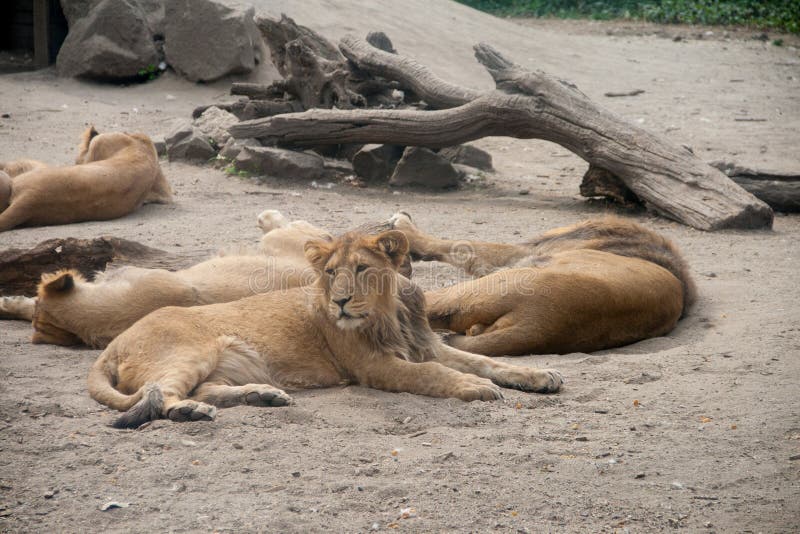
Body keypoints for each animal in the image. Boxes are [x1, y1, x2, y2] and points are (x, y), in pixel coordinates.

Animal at [87, 229, 564, 427]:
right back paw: (191, 413)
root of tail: (112, 346)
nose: (340, 301)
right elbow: (434, 374)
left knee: (201, 389)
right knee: (162, 395)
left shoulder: (427, 345)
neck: (389, 313)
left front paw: (541, 375)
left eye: (362, 269)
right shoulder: (375, 367)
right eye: (332, 273)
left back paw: (264, 396)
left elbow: (484, 360)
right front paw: (474, 387)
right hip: (191, 351)